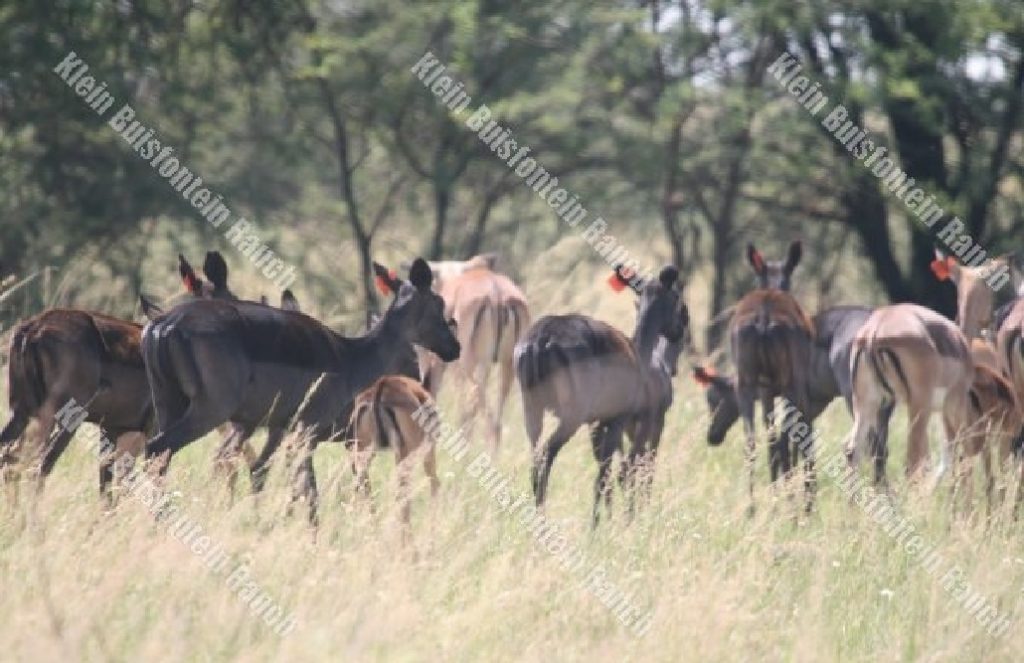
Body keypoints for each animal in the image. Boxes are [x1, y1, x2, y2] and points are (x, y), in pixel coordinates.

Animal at [348, 376, 439, 525]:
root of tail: (381, 387)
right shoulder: (429, 449)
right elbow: (434, 484)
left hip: (364, 452)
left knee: (364, 488)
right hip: (406, 453)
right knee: (405, 493)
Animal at [514, 266, 687, 525]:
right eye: (676, 297)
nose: (680, 329)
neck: (639, 353)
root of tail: (542, 339)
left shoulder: (596, 425)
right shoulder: (617, 420)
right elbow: (610, 474)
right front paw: (603, 525)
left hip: (532, 412)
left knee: (535, 463)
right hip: (571, 418)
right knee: (547, 457)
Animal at [728, 241, 816, 511]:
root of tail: (763, 318)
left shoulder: (766, 390)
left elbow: (771, 437)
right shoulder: (798, 387)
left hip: (746, 384)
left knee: (753, 441)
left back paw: (753, 507)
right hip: (789, 385)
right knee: (786, 440)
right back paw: (790, 503)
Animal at [845, 304, 973, 490]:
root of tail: (874, 330)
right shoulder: (954, 406)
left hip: (869, 404)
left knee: (853, 450)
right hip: (919, 407)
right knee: (913, 461)